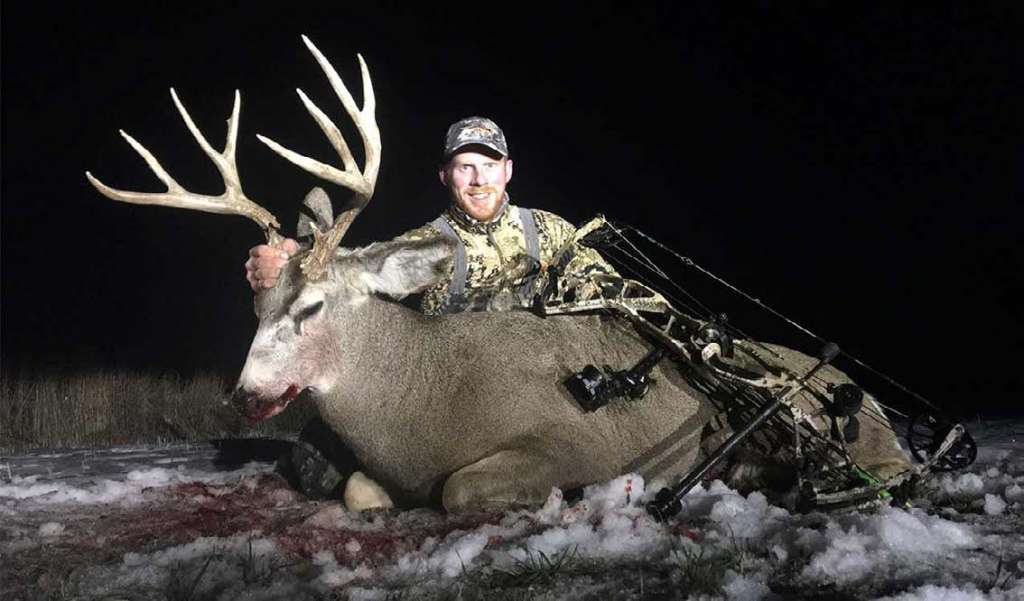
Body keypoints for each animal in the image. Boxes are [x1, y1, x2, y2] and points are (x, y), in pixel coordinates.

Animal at [86, 36, 911, 513]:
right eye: (255, 304)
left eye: (314, 306)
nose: (247, 394)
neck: (420, 407)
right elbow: (358, 491)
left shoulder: (568, 440)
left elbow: (461, 490)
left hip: (850, 427)